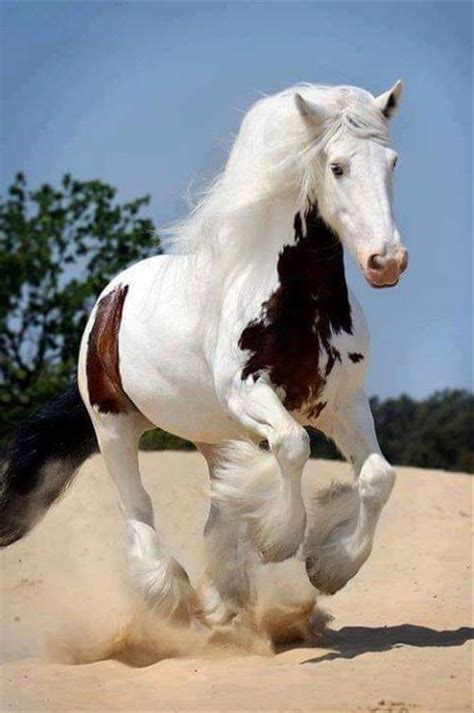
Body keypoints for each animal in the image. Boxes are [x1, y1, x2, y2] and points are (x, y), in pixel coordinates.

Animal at [0, 80, 407, 626]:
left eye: (392, 162)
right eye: (338, 166)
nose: (387, 262)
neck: (298, 303)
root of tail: (110, 297)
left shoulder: (342, 402)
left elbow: (377, 477)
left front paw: (330, 566)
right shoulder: (249, 393)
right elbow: (293, 445)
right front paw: (279, 540)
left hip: (212, 434)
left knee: (217, 505)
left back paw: (223, 600)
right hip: (113, 426)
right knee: (138, 508)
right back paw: (175, 598)